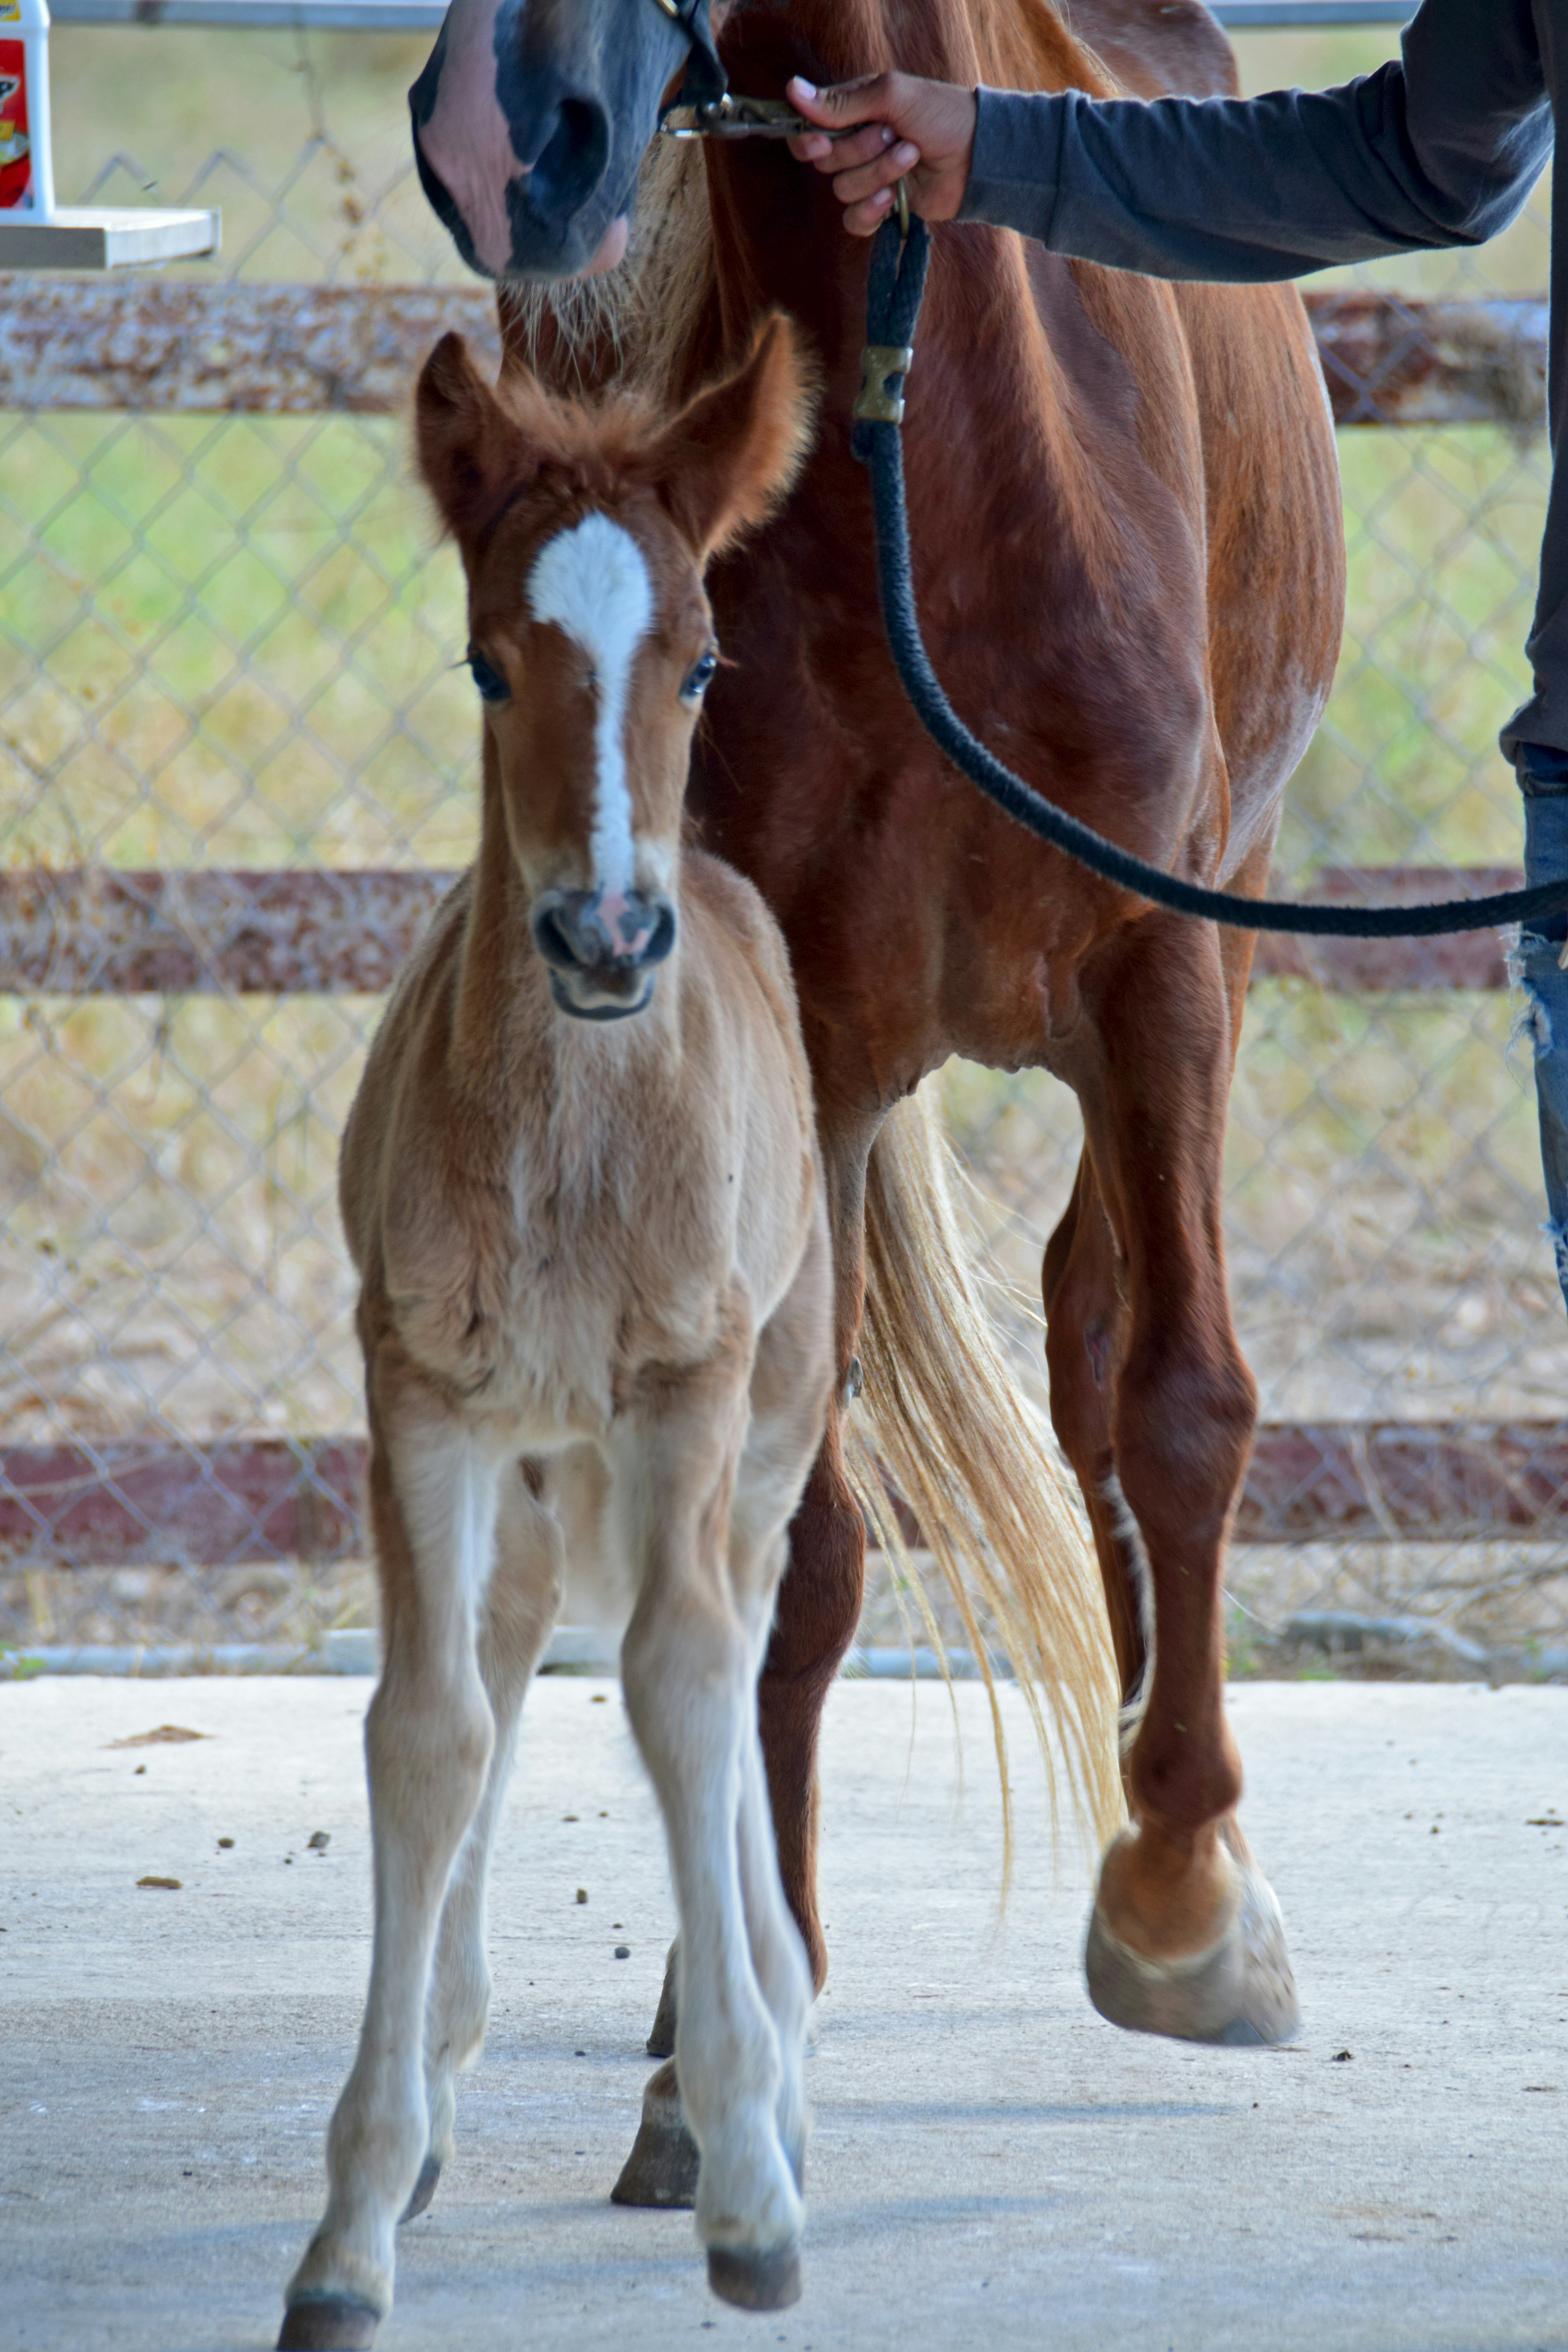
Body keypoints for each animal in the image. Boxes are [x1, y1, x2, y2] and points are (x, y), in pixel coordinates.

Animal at [277, 313, 840, 2347]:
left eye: (700, 657)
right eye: (486, 659)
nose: (605, 937)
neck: (577, 1144)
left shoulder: (686, 1394)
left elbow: (682, 1685)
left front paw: (746, 2184)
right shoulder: (420, 1401)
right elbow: (428, 1731)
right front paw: (353, 2223)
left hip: (768, 1423)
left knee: (739, 1638)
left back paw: (774, 2024)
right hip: (525, 1457)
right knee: (514, 1651)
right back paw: (451, 2063)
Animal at [410, 0, 1345, 2061]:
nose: (500, 139)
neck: (941, 481)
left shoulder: (1162, 979)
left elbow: (1179, 1403)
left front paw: (1182, 1901)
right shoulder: (818, 1044)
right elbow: (801, 1530)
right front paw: (741, 1986)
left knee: (1098, 1336)